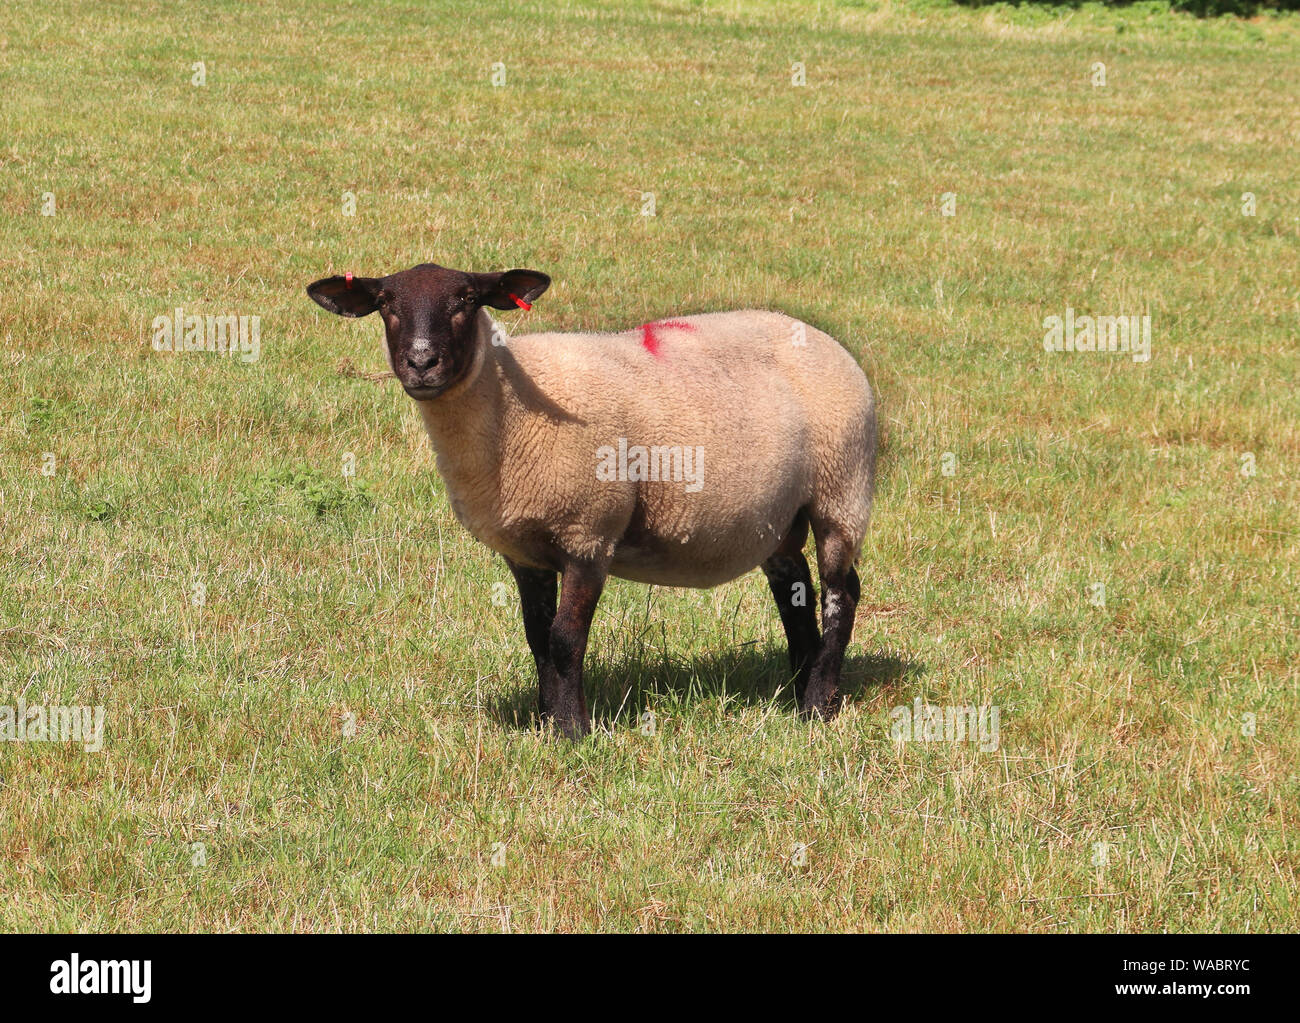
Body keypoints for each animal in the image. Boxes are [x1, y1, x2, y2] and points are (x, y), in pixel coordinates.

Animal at [307, 262, 877, 738]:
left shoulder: (588, 533)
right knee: (795, 591)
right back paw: (799, 688)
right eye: (385, 303)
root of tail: (824, 340)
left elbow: (565, 638)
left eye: (466, 299)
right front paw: (544, 721)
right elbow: (536, 636)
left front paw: (572, 730)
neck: (510, 409)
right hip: (778, 513)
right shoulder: (525, 552)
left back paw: (817, 706)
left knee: (840, 593)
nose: (421, 362)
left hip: (841, 490)